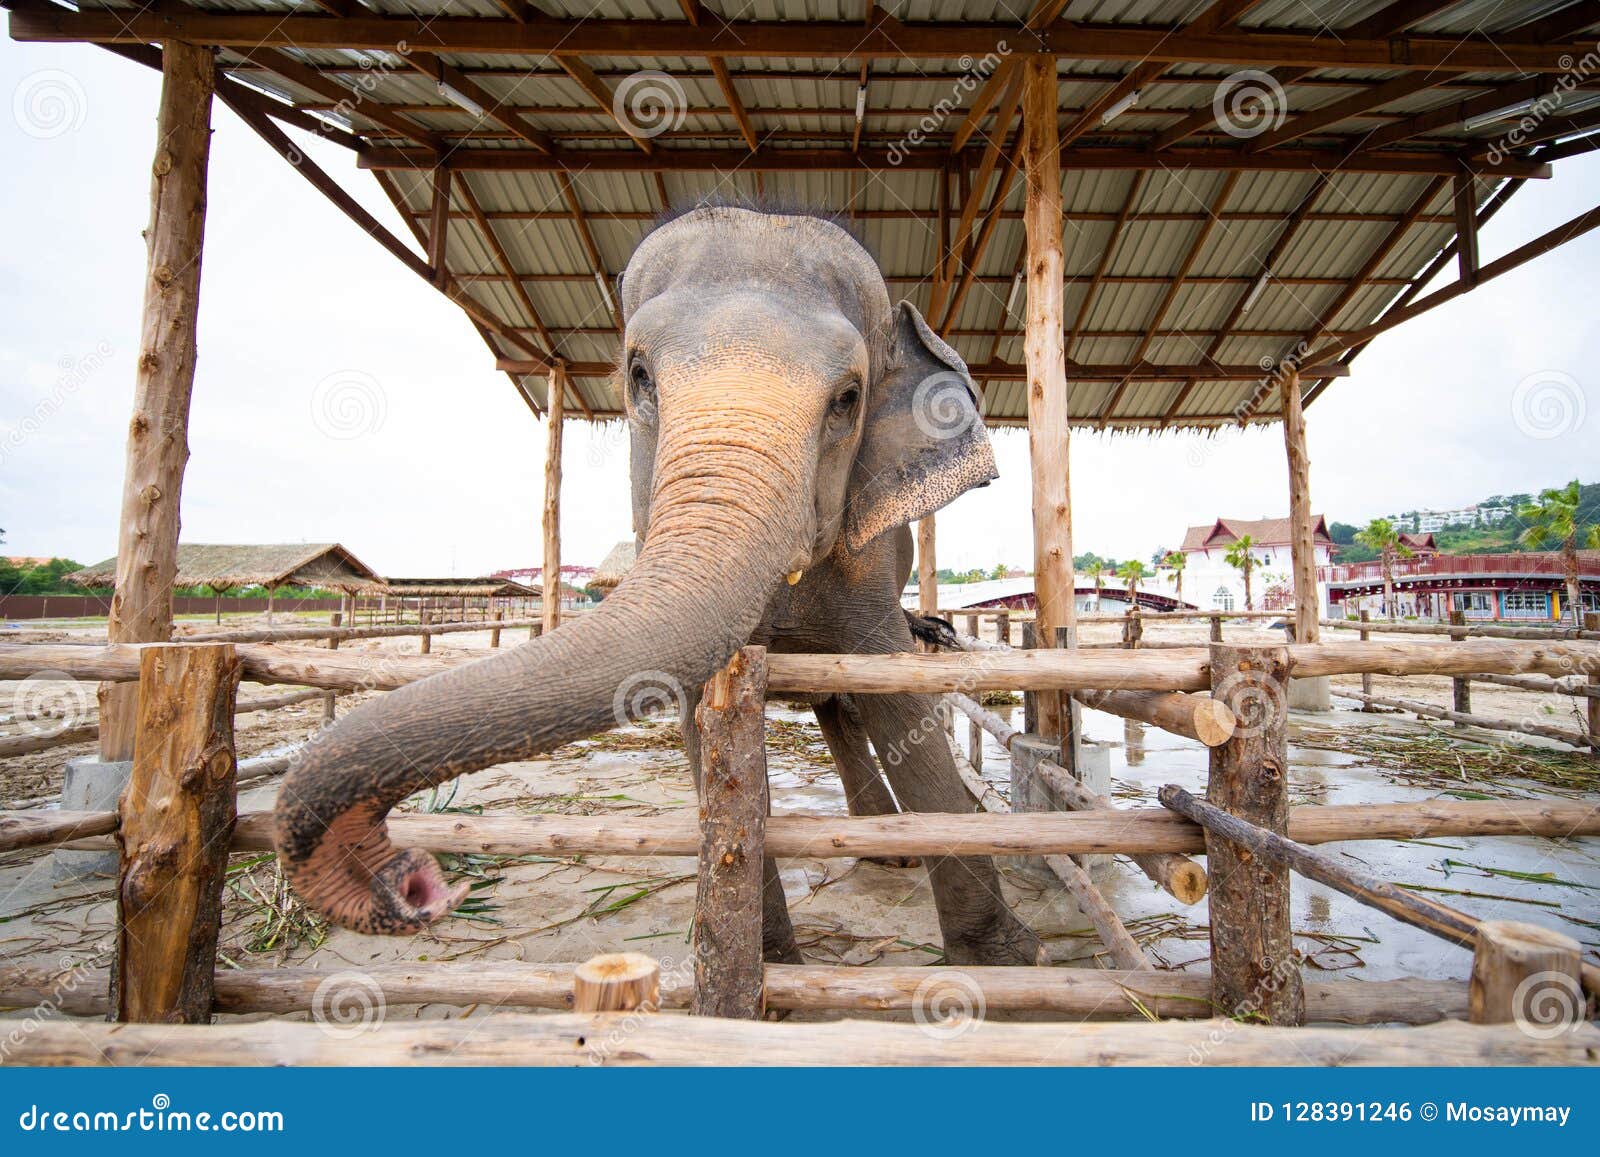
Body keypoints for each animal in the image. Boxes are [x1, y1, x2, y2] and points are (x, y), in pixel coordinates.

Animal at [273, 204, 1044, 966]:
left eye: (848, 398)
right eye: (639, 376)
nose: (414, 883)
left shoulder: (870, 565)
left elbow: (902, 704)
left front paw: (1005, 961)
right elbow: (705, 724)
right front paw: (769, 966)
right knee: (832, 709)